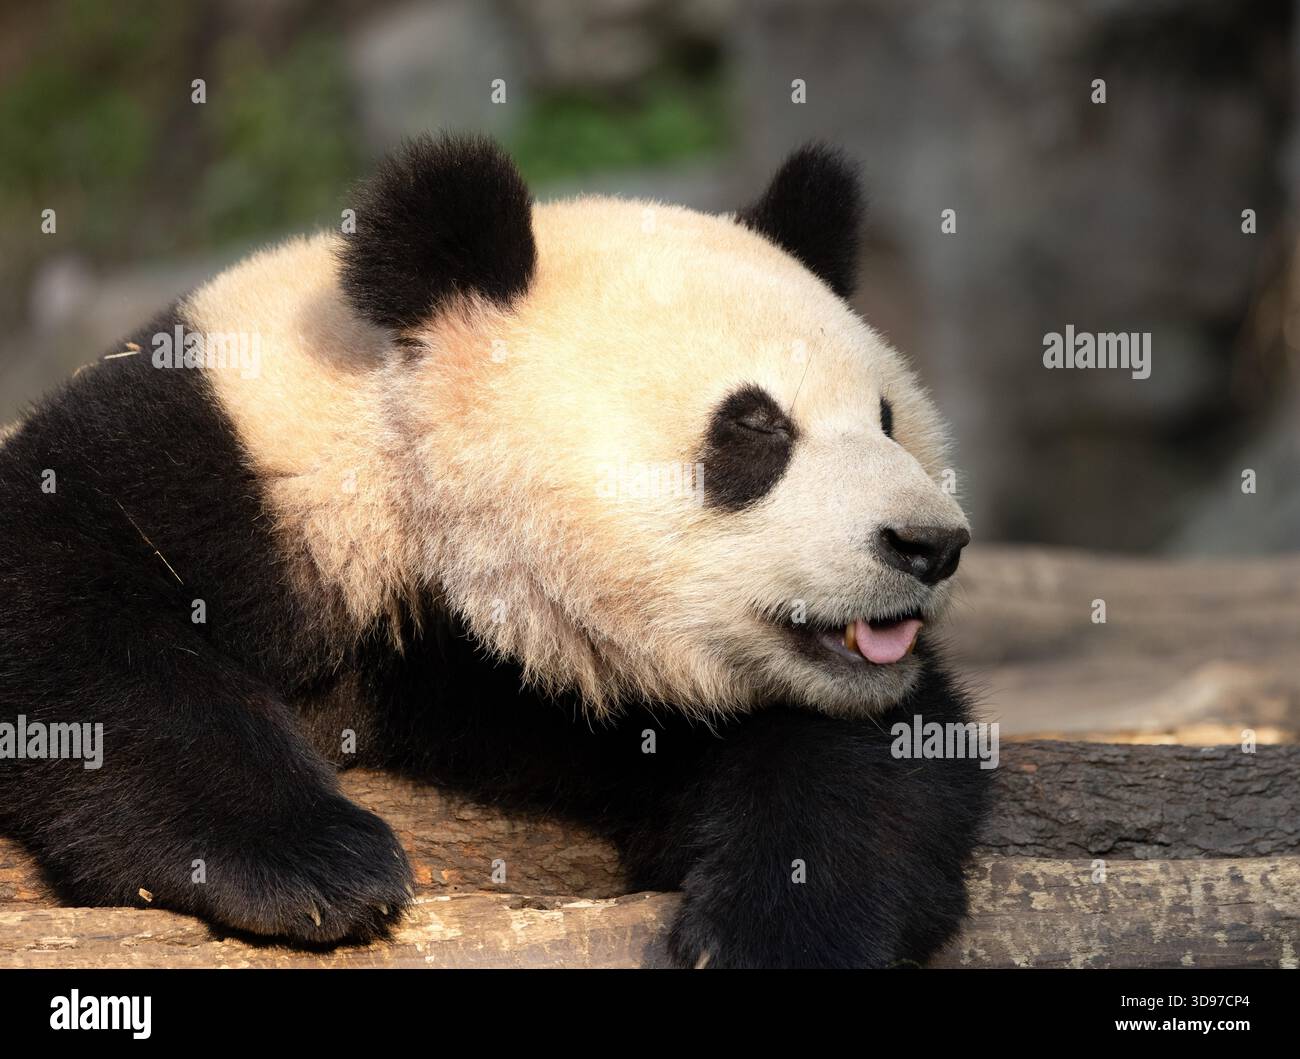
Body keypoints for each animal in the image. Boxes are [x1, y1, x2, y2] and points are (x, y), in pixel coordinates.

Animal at [0, 134, 990, 968]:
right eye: (755, 428)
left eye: (887, 419)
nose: (929, 544)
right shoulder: (213, 462)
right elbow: (73, 623)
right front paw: (311, 861)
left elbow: (877, 747)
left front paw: (774, 924)